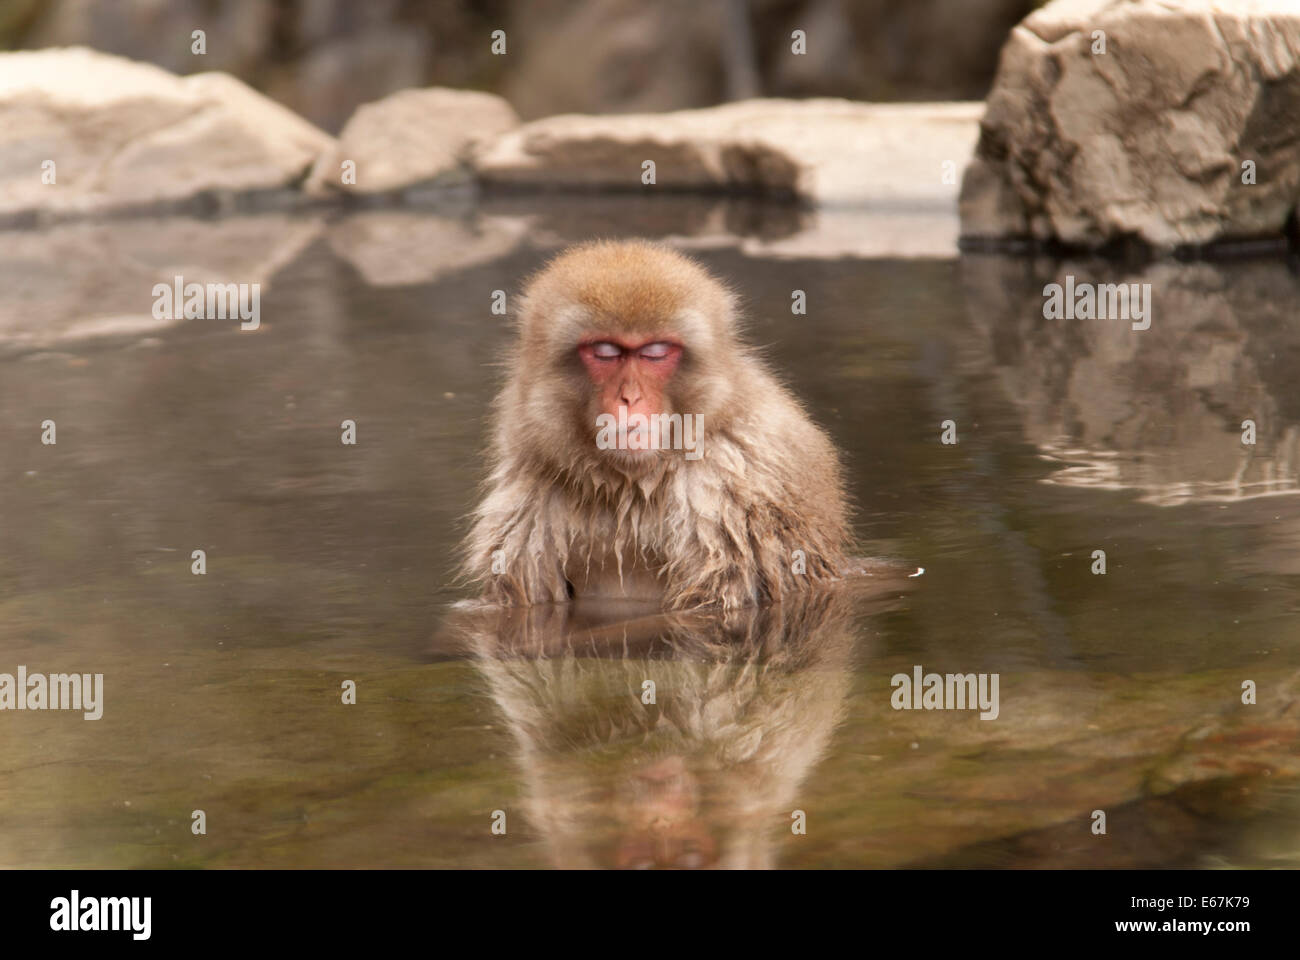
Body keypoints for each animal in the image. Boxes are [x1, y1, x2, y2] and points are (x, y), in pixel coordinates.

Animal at [462, 239, 851, 611]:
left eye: (655, 353)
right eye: (604, 352)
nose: (630, 398)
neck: (630, 485)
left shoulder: (736, 492)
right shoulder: (526, 498)